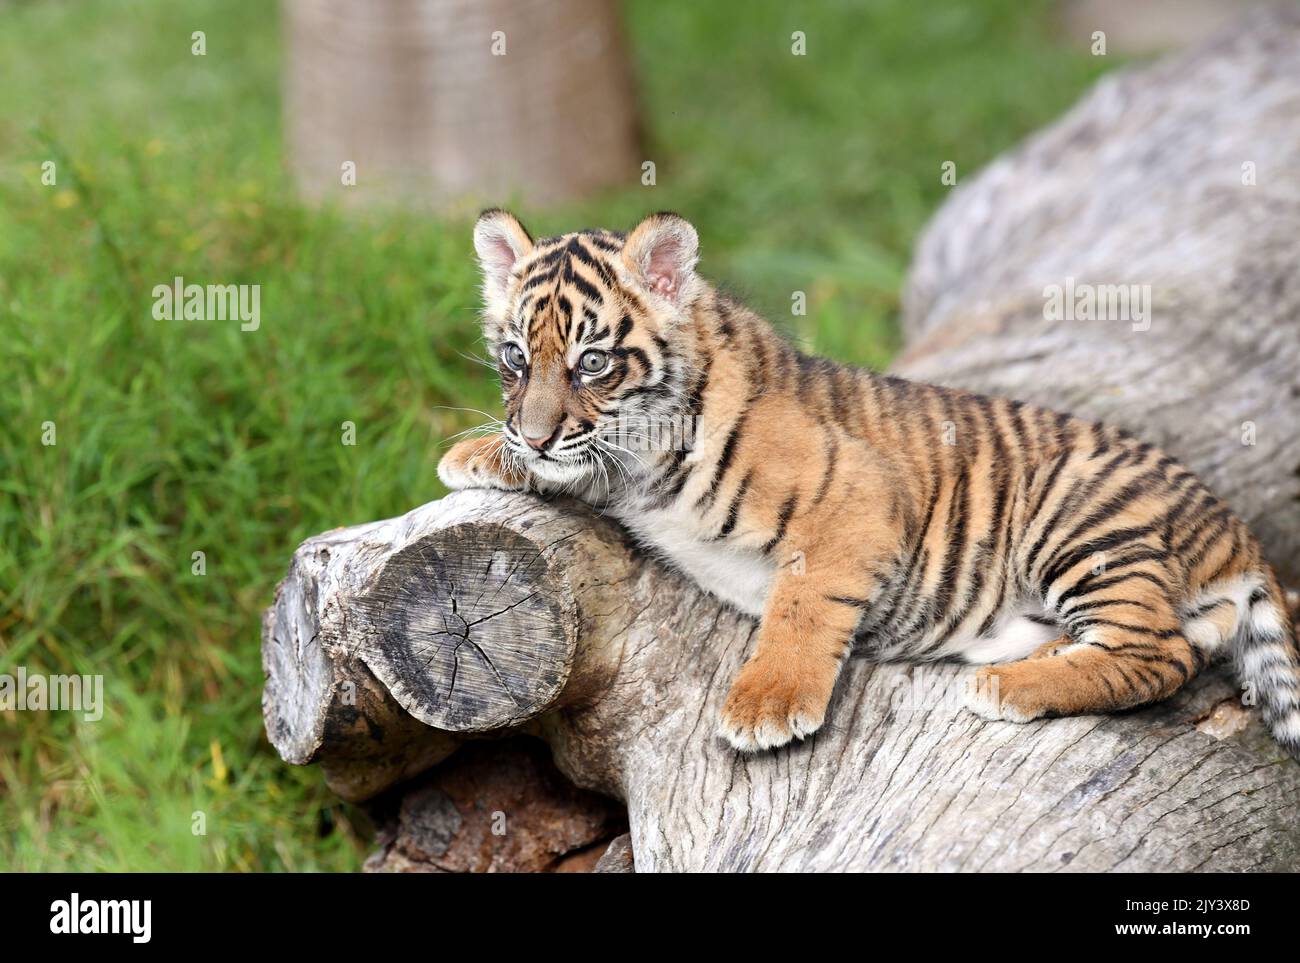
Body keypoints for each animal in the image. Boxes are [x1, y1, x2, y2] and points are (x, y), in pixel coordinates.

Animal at [437, 208, 1300, 758]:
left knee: (1161, 652)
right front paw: (482, 452)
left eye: (593, 362)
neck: (642, 462)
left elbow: (802, 600)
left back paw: (1010, 688)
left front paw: (768, 703)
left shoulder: (856, 496)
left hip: (1082, 524)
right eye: (515, 358)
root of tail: (1237, 530)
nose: (532, 433)